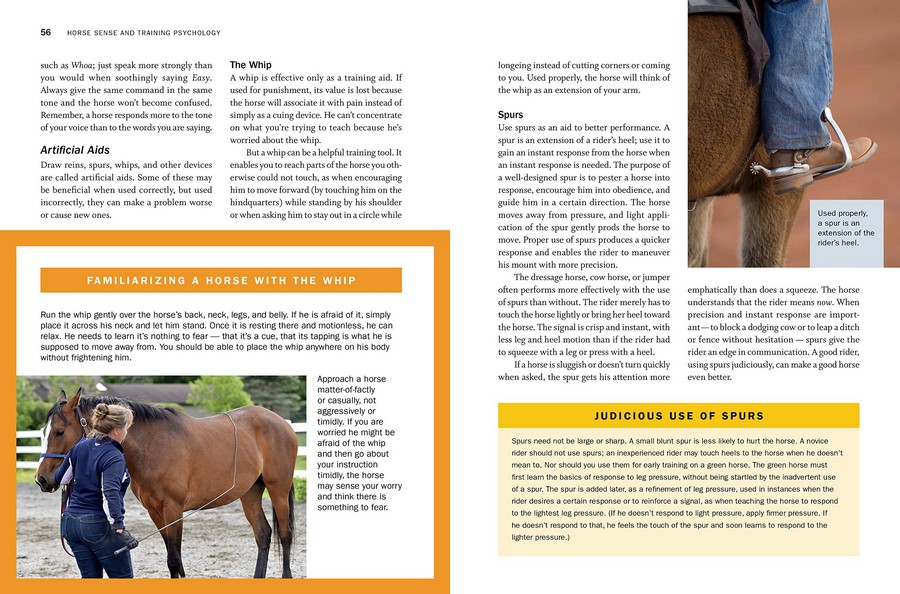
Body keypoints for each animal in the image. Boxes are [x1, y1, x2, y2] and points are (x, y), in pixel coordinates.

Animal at [34, 387, 298, 579]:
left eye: (59, 431)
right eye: (43, 432)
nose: (42, 480)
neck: (153, 446)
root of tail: (281, 422)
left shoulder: (173, 510)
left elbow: (173, 559)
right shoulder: (156, 512)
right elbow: (175, 559)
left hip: (278, 490)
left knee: (285, 534)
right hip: (250, 493)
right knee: (263, 534)